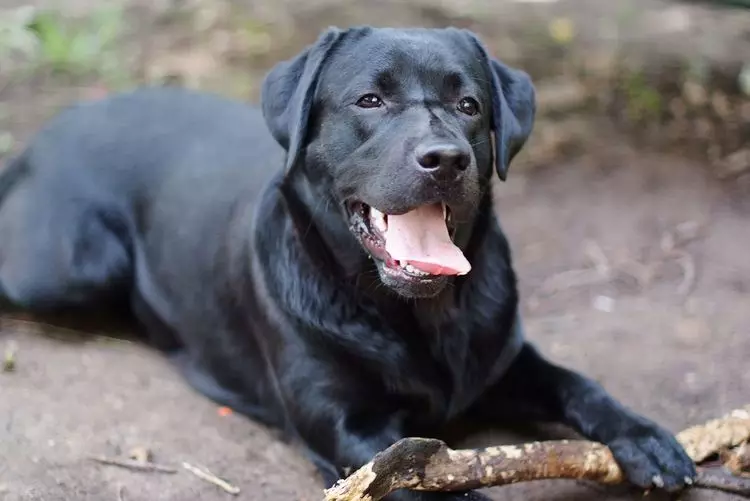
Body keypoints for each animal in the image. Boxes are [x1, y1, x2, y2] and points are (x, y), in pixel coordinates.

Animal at [0, 28, 696, 500]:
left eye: (470, 105)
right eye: (369, 100)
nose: (445, 158)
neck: (421, 315)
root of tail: (43, 136)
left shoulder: (504, 357)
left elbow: (577, 382)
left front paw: (648, 438)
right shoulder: (351, 430)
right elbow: (441, 485)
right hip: (71, 266)